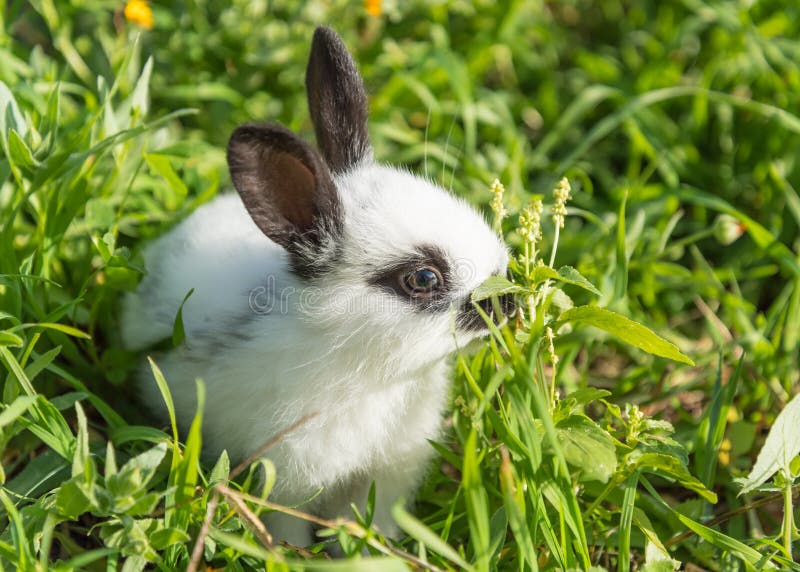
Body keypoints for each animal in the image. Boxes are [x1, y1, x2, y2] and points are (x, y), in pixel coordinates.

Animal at [121, 26, 510, 547]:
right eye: (423, 278)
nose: (509, 301)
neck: (374, 376)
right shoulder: (289, 477)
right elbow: (288, 522)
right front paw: (289, 552)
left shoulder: (388, 472)